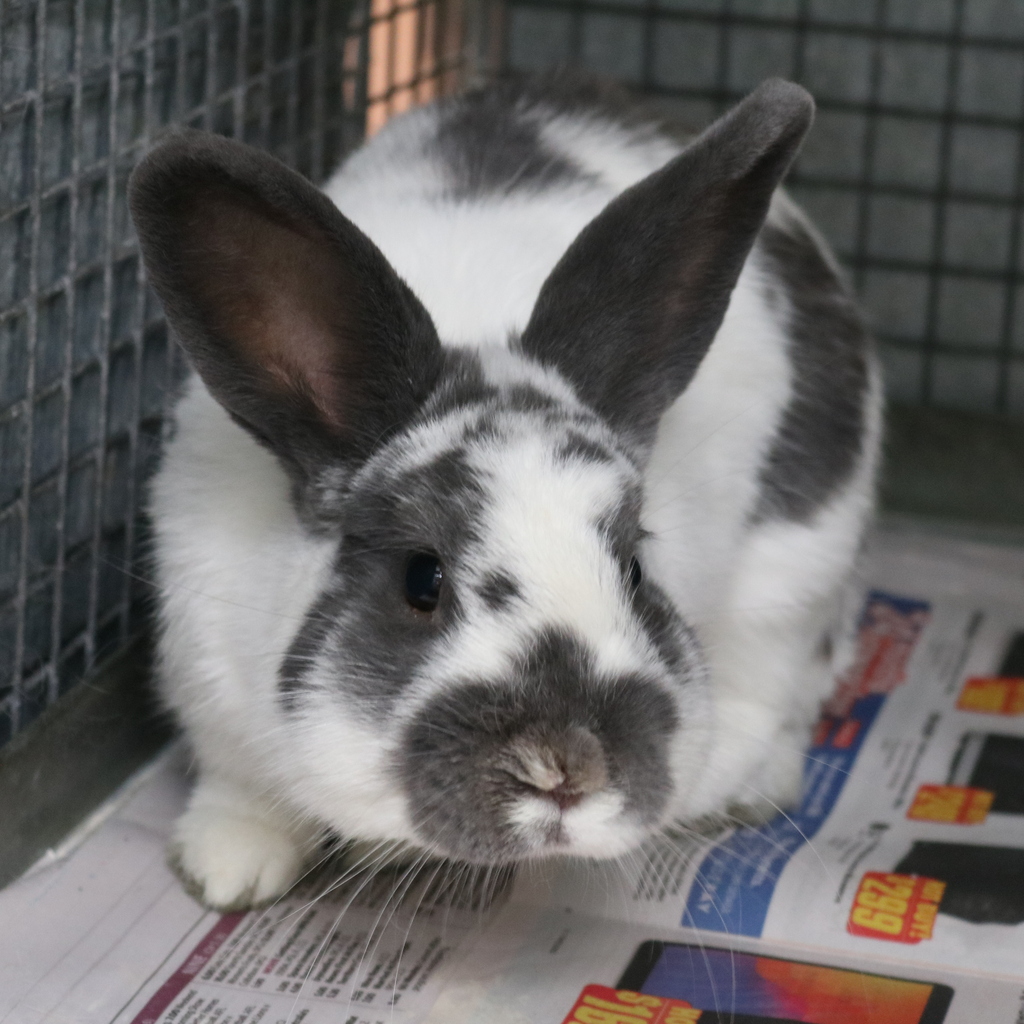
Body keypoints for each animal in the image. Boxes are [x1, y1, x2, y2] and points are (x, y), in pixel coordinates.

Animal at [129, 74, 881, 911]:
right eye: (422, 579)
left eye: (634, 571)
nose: (568, 766)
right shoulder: (205, 666)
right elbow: (239, 788)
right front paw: (227, 869)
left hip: (799, 580)